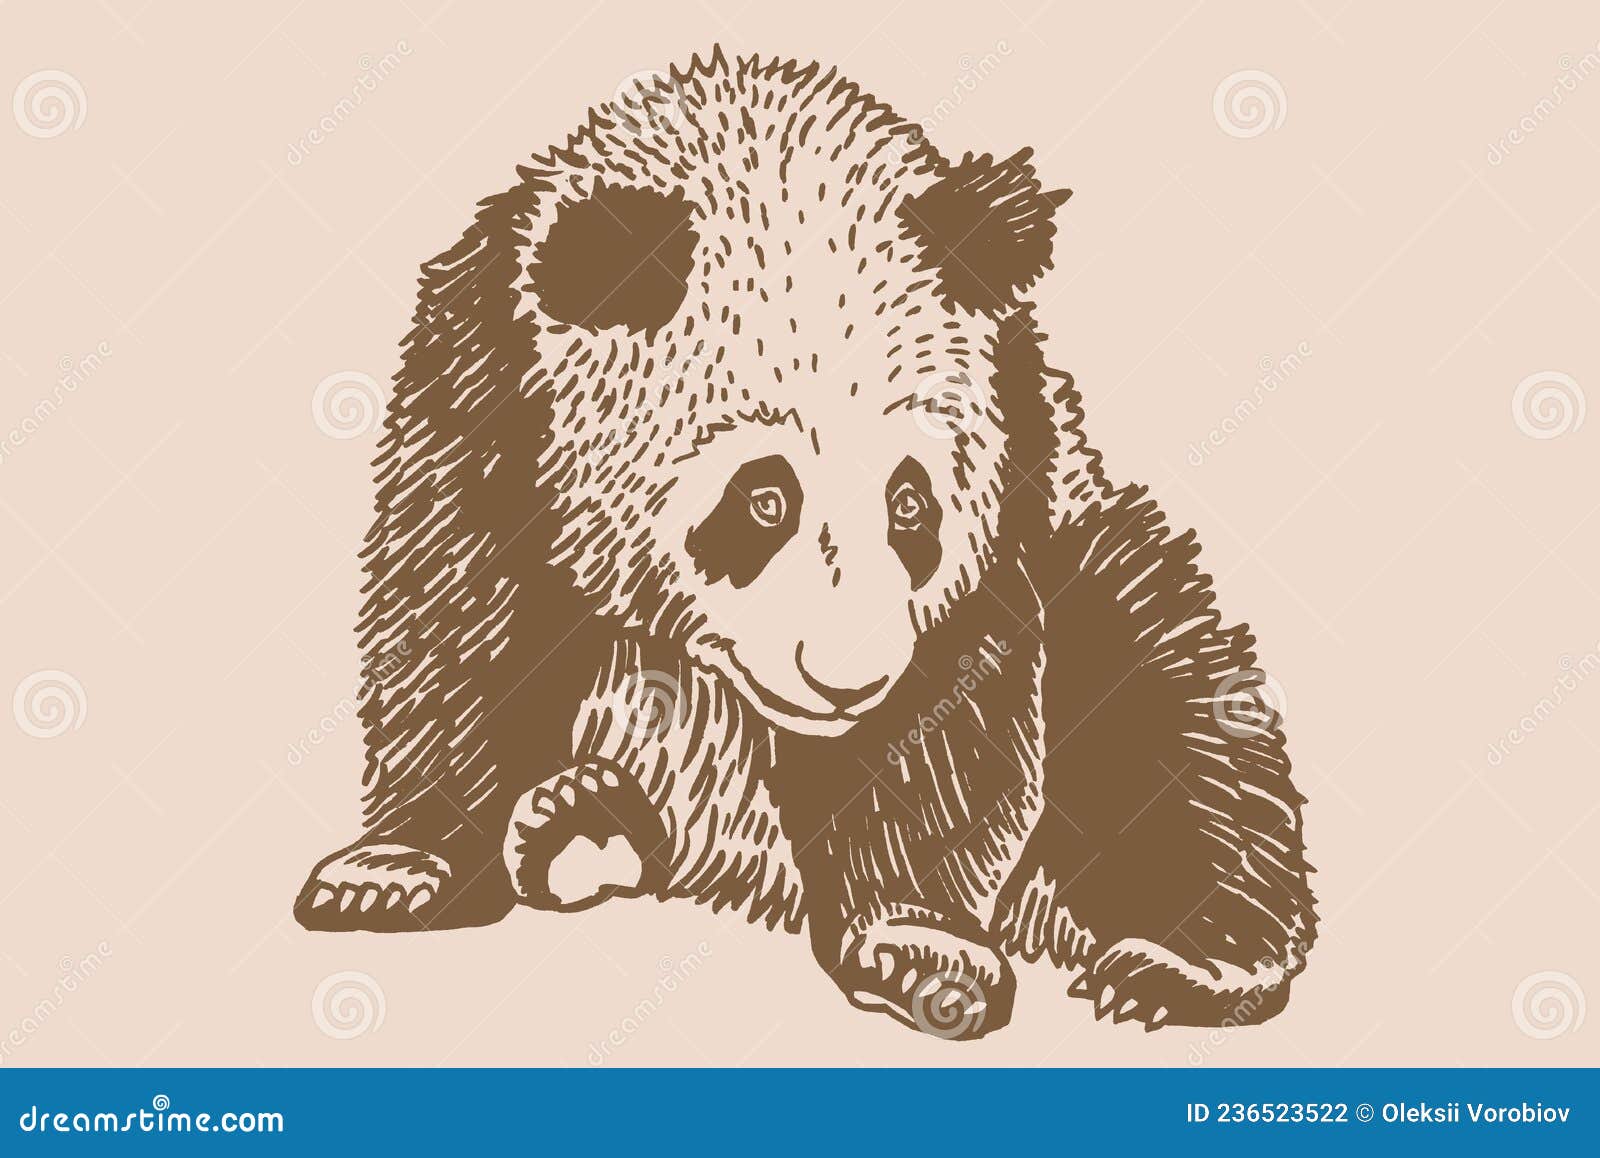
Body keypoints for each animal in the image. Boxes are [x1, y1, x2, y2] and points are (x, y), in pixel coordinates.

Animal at [293, 48, 1317, 1041]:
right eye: (764, 500)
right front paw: (397, 868)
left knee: (1178, 711)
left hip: (1103, 587)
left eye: (910, 505)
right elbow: (452, 626)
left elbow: (954, 714)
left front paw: (919, 946)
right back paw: (582, 824)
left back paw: (1183, 967)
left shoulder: (1012, 488)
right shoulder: (485, 400)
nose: (847, 682)